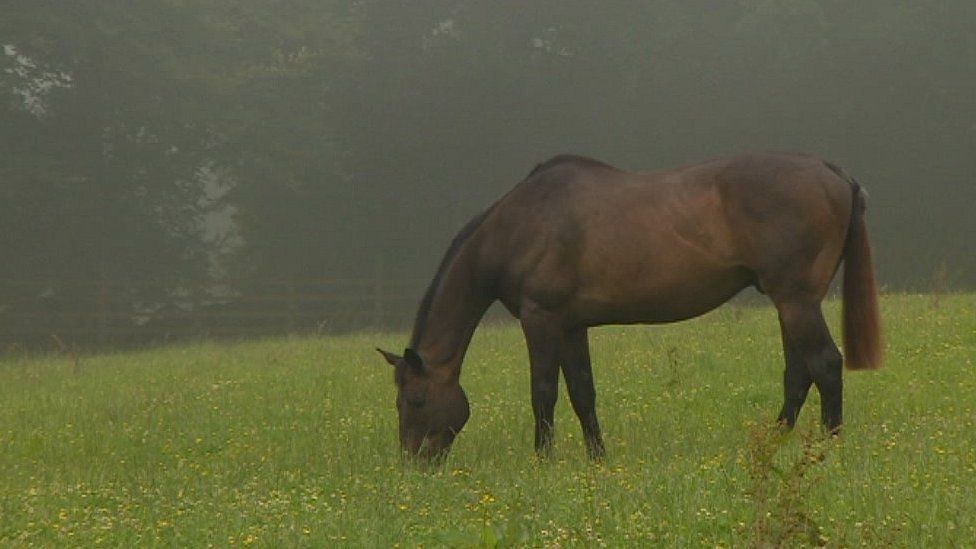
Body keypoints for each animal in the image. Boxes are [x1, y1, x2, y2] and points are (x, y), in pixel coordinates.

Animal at [377, 152, 881, 462]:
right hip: (790, 302)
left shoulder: (541, 321)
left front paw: (543, 460)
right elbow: (582, 392)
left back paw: (828, 449)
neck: (517, 228)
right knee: (799, 374)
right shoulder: (570, 326)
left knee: (825, 364)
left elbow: (543, 392)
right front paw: (596, 457)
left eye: (416, 400)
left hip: (796, 301)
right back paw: (769, 445)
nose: (414, 465)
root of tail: (833, 172)